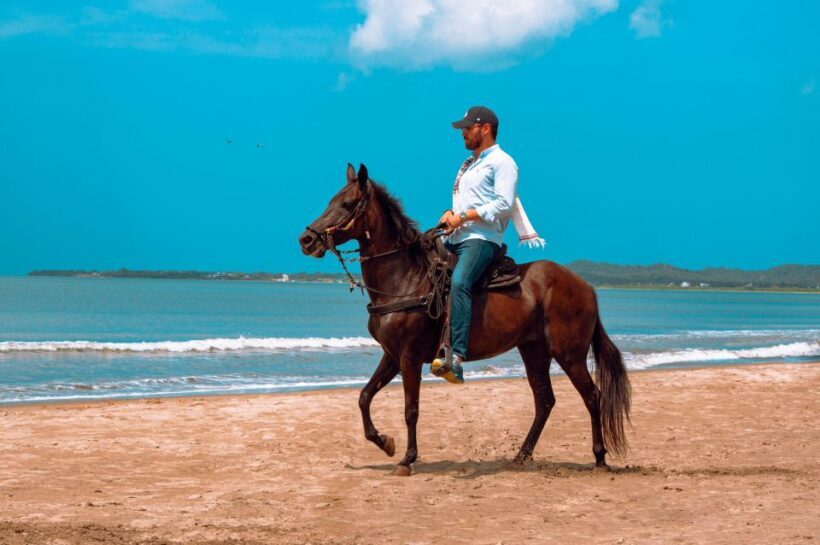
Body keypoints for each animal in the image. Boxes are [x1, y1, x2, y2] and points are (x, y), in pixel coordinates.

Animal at [298, 163, 631, 476]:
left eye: (347, 203)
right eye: (331, 201)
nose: (306, 240)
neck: (405, 278)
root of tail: (585, 287)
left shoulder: (408, 357)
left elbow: (411, 409)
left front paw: (407, 459)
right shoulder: (392, 355)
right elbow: (364, 397)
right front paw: (385, 442)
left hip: (569, 354)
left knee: (592, 396)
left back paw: (599, 458)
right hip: (534, 351)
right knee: (544, 401)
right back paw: (521, 456)